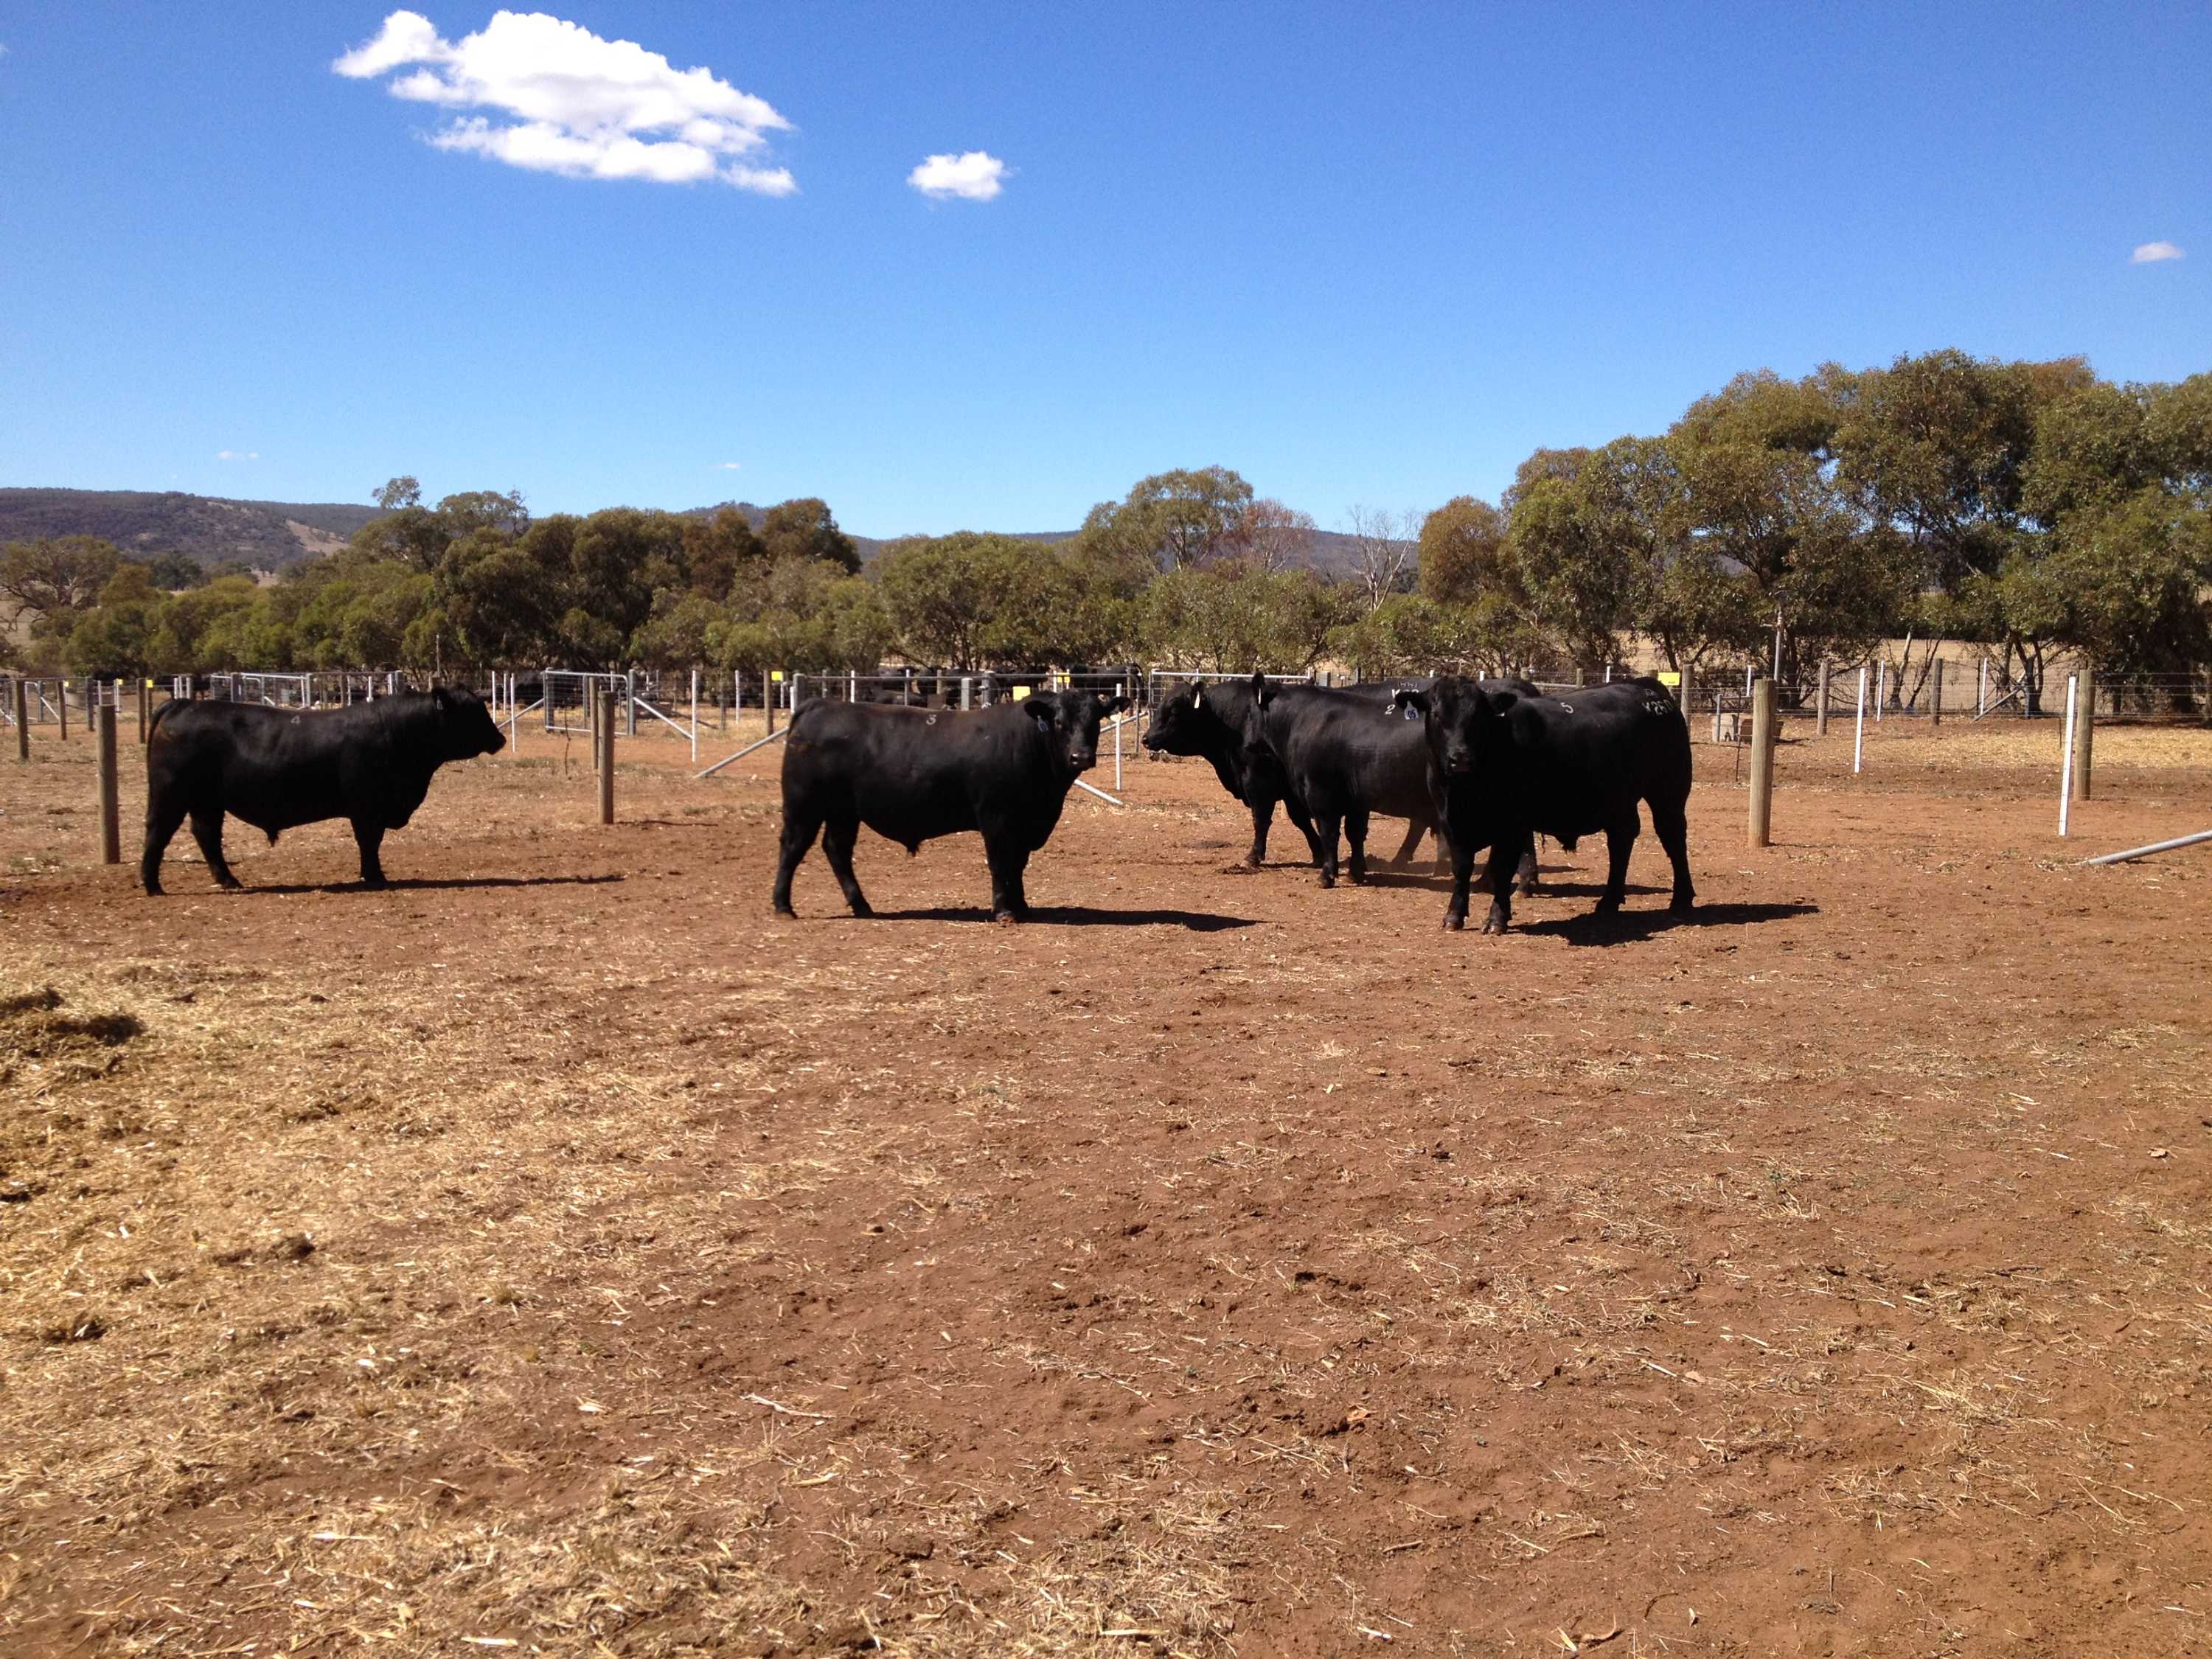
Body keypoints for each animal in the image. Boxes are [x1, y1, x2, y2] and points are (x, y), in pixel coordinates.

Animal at [140, 688, 506, 895]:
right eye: (474, 713)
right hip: (171, 795)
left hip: (208, 801)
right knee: (159, 833)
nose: (501, 739)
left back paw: (229, 880)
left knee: (206, 835)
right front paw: (375, 877)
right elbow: (369, 842)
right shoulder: (367, 808)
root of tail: (183, 704)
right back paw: (153, 885)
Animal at [771, 687, 1129, 923]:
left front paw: (1022, 906)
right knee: (793, 848)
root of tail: (818, 705)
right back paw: (783, 907)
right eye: (1057, 722)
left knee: (838, 850)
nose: (1081, 756)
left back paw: (861, 906)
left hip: (843, 812)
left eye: (1096, 720)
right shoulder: (997, 818)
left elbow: (1017, 865)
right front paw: (1004, 911)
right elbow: (1001, 864)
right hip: (804, 806)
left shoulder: (1025, 824)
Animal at [1390, 675, 1694, 933]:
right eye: (1437, 714)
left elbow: (1503, 870)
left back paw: (1681, 901)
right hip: (1619, 801)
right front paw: (1454, 915)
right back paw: (1609, 901)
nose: (1460, 757)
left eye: (1478, 717)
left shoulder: (1512, 826)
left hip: (1668, 791)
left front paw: (1497, 919)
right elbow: (1462, 869)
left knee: (1673, 838)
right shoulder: (1450, 823)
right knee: (1621, 840)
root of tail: (1649, 691)